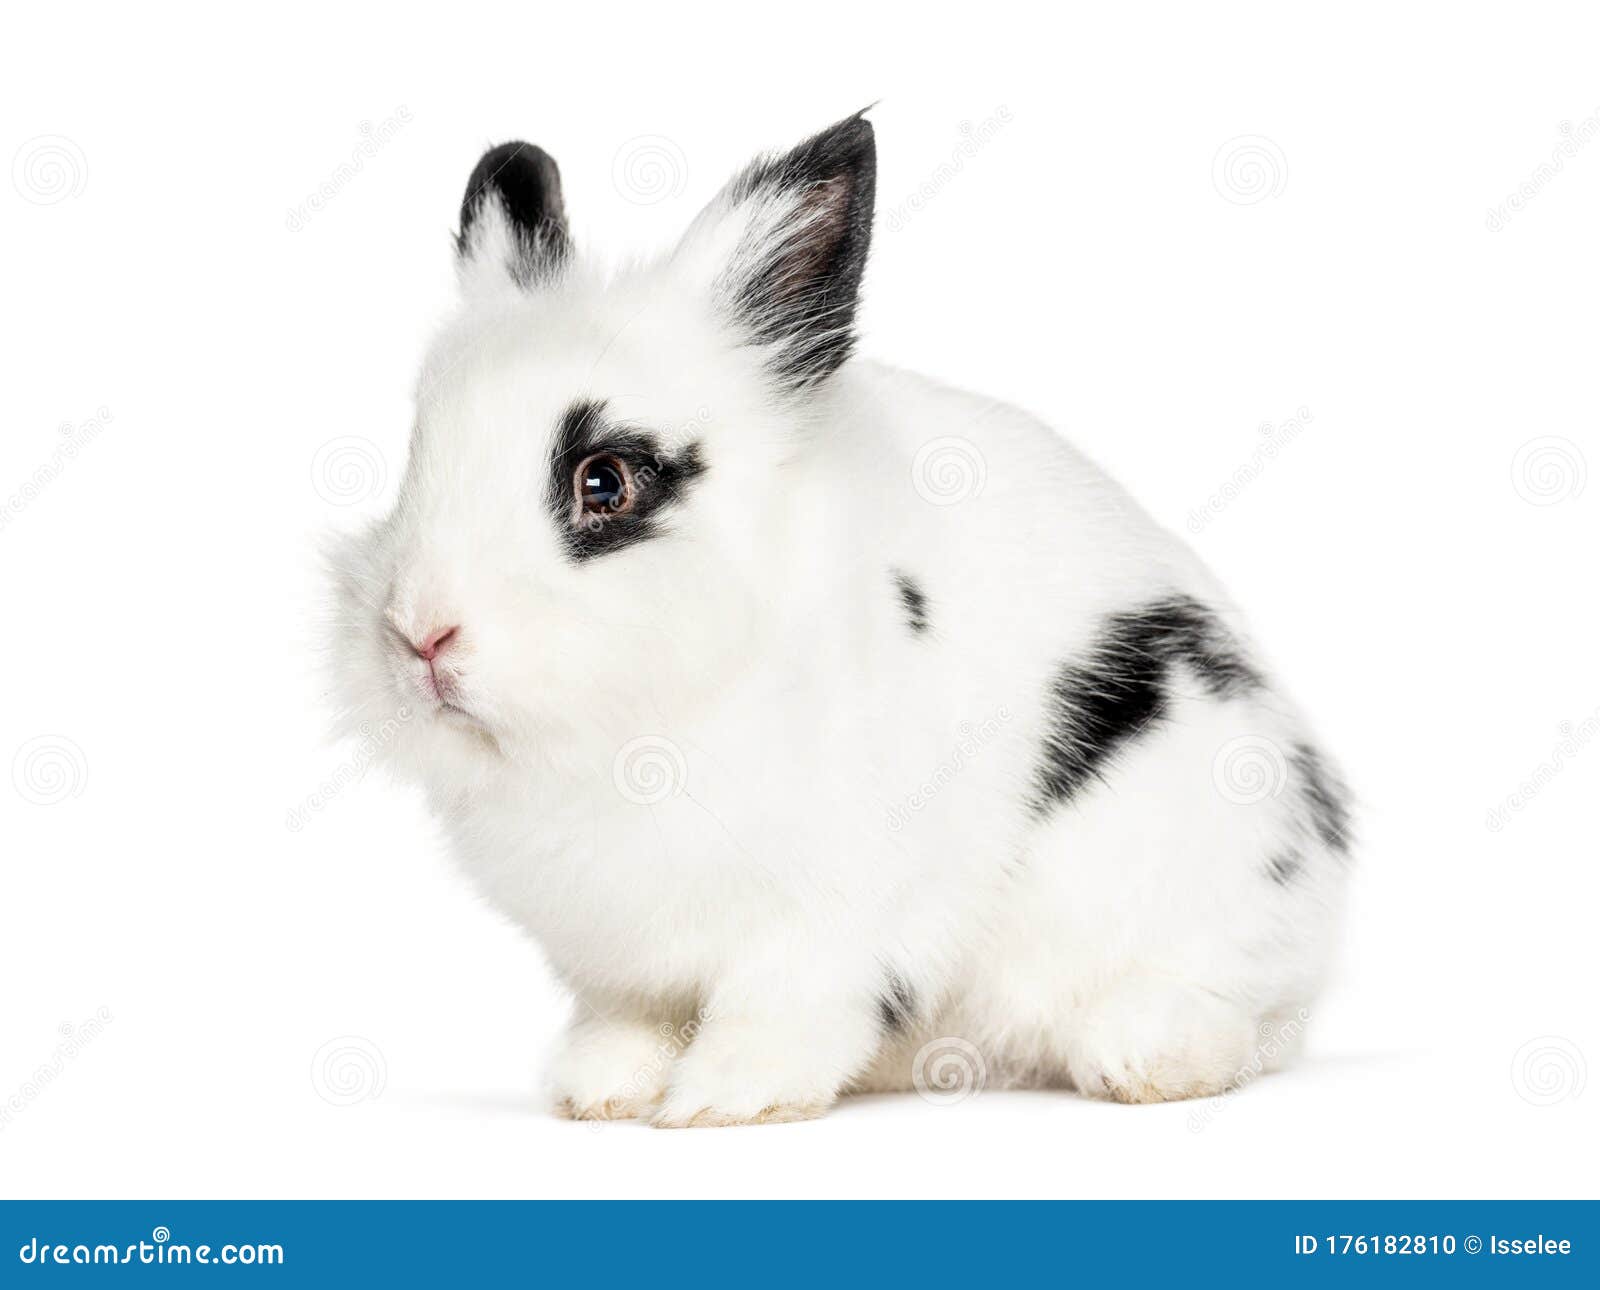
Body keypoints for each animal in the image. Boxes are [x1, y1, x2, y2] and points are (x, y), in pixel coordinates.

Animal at [327, 110, 1351, 1127]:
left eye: (606, 482)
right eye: (417, 462)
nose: (419, 634)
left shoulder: (835, 909)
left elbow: (782, 1001)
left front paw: (728, 1098)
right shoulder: (623, 959)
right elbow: (633, 1015)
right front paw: (603, 1089)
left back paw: (1146, 1058)